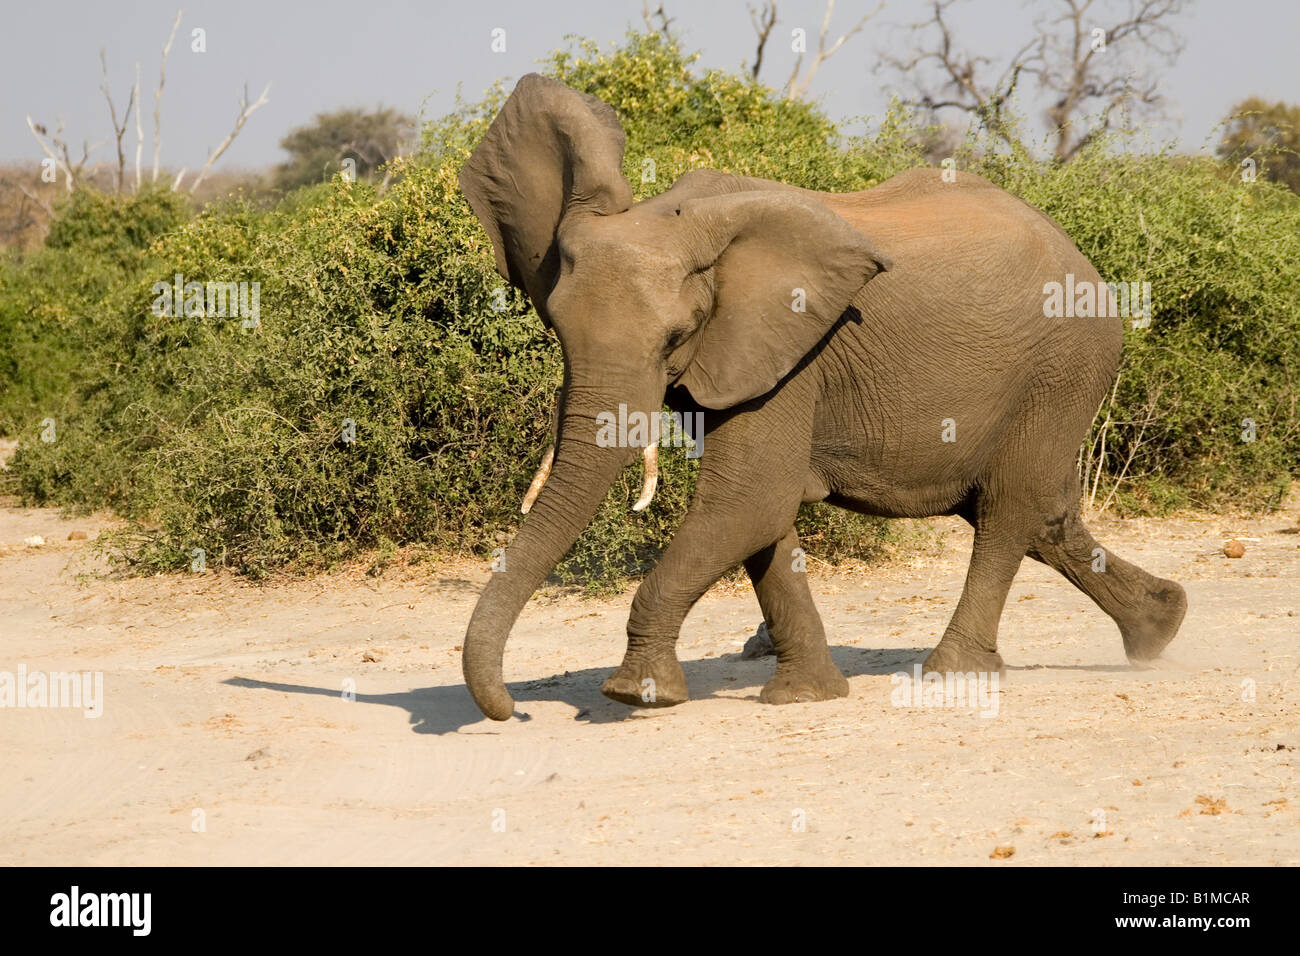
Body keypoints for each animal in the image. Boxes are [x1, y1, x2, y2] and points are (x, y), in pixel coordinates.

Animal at [456, 73, 1187, 722]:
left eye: (676, 337)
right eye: (557, 328)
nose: (512, 709)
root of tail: (1086, 261)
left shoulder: (791, 351)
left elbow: (750, 497)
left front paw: (637, 695)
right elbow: (762, 517)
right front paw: (804, 697)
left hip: (1065, 365)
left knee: (1008, 510)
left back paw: (951, 674)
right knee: (1041, 513)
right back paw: (1162, 626)